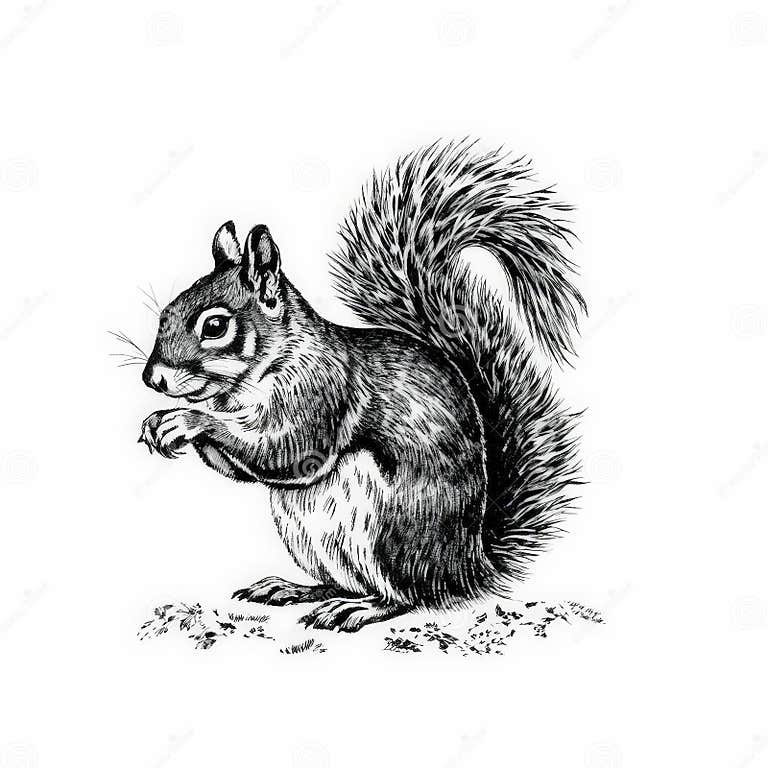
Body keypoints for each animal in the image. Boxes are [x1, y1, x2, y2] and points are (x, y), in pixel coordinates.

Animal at [138, 140, 586, 632]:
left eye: (215, 326)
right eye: (166, 312)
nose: (153, 378)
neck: (251, 382)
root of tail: (468, 565)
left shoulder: (321, 391)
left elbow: (286, 450)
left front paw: (188, 420)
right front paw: (160, 422)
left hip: (391, 531)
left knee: (409, 595)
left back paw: (361, 608)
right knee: (343, 581)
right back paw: (295, 589)